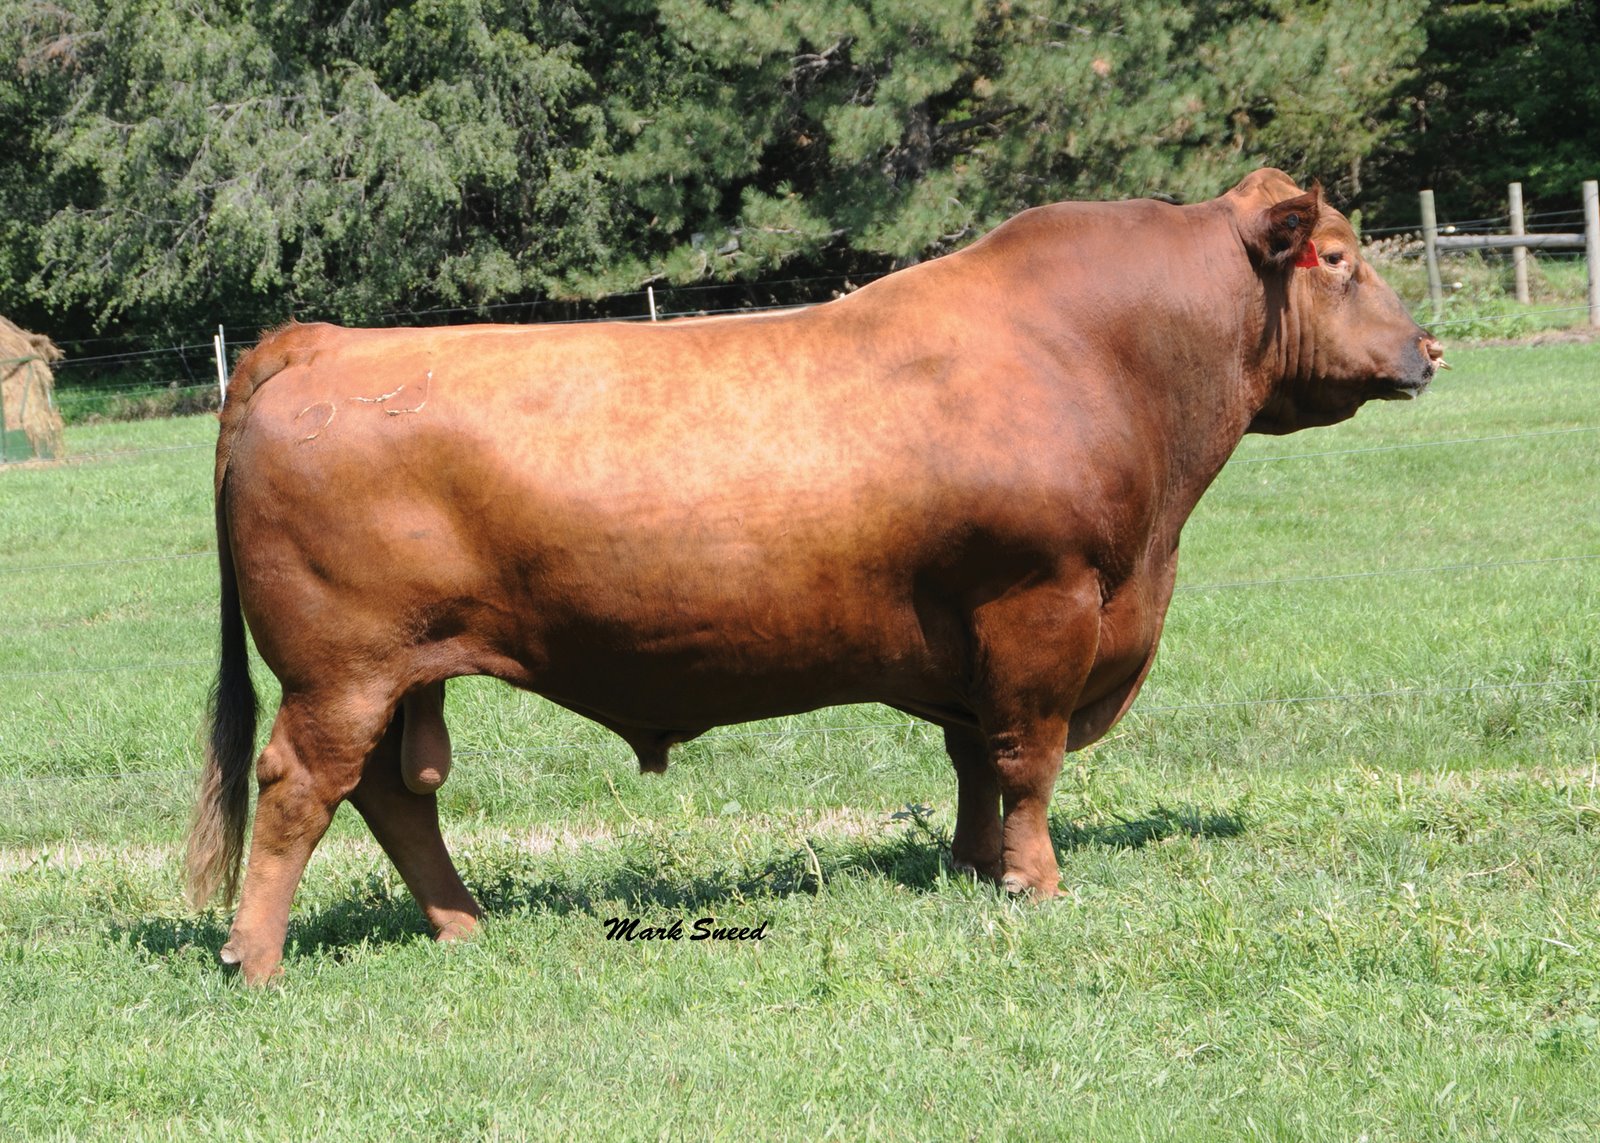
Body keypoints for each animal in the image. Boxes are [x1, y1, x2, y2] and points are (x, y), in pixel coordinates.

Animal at [185, 169, 1445, 983]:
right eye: (1339, 260)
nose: (1429, 349)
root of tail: (319, 342)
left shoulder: (971, 642)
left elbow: (974, 758)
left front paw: (973, 865)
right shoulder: (1042, 608)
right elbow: (1028, 761)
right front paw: (1035, 885)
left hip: (407, 672)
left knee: (396, 796)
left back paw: (461, 927)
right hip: (342, 667)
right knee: (300, 785)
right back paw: (256, 957)